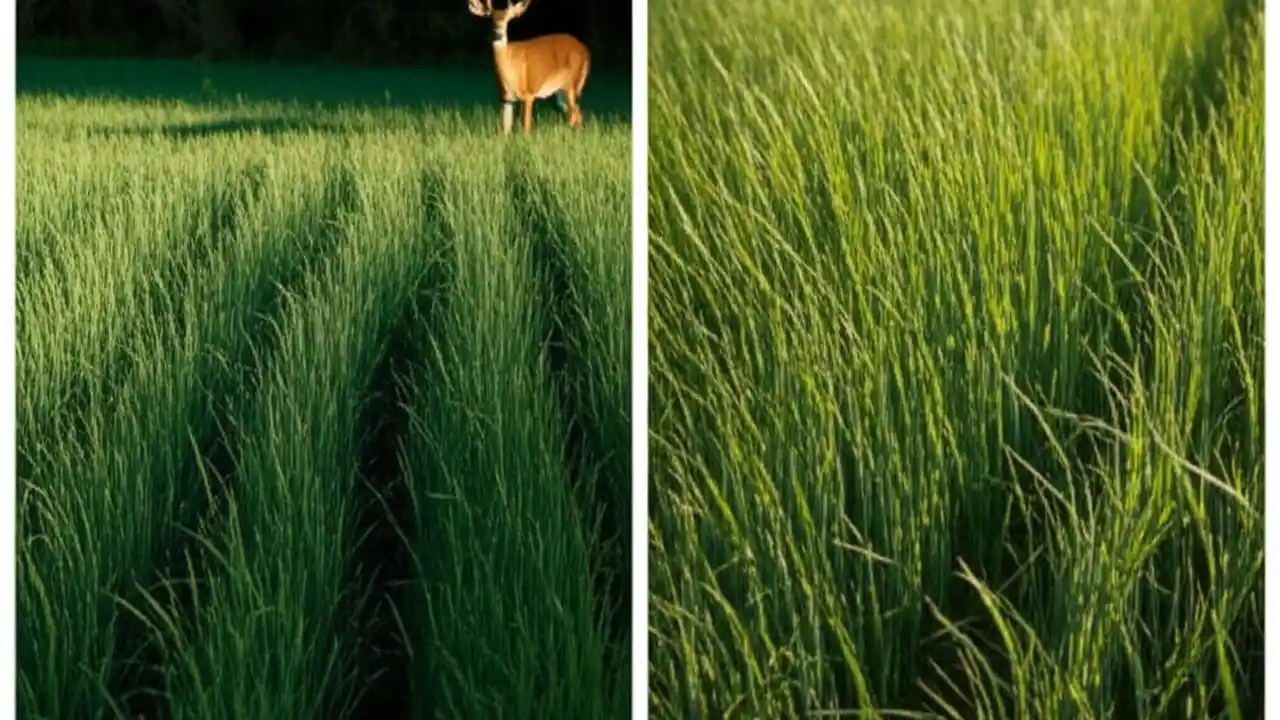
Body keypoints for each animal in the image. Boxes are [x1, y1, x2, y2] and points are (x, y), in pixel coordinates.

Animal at [467, 0, 591, 134]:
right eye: (491, 19)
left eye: (506, 20)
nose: (497, 32)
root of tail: (585, 51)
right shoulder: (505, 98)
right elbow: (504, 130)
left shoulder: (528, 94)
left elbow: (525, 128)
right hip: (560, 92)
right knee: (575, 114)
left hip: (571, 84)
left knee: (576, 115)